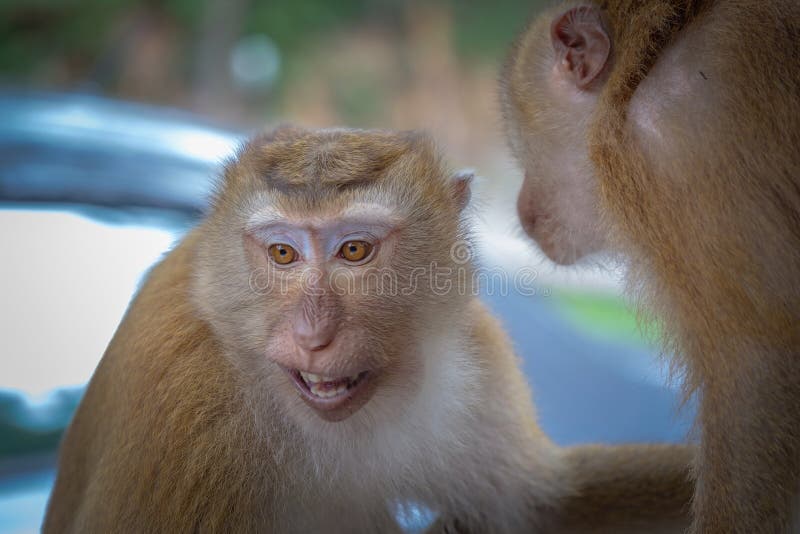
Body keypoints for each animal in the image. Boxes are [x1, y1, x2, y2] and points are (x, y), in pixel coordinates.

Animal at [43, 126, 693, 533]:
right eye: (282, 254)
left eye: (354, 250)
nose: (313, 334)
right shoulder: (192, 418)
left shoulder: (471, 360)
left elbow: (539, 509)